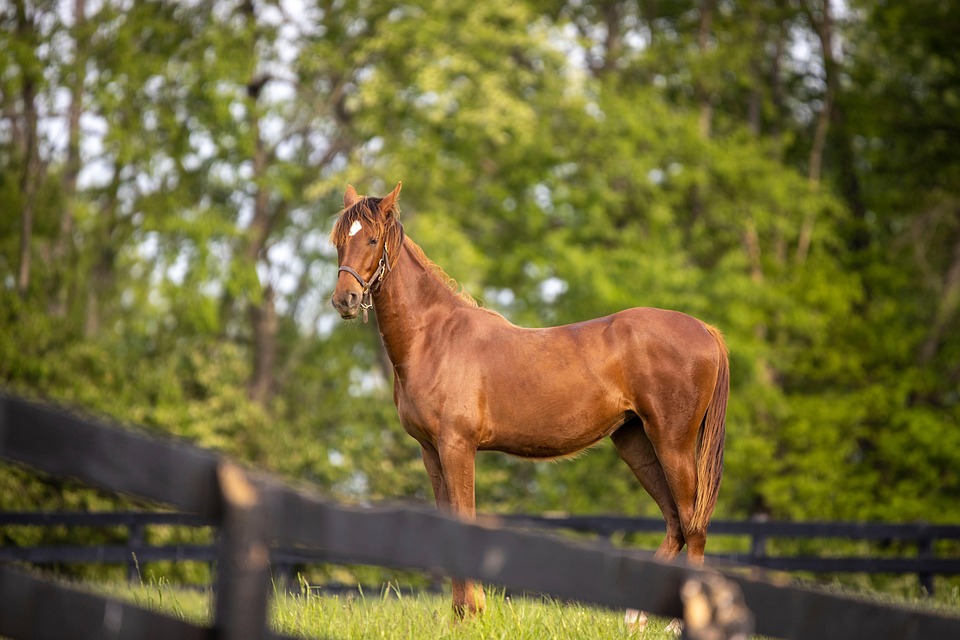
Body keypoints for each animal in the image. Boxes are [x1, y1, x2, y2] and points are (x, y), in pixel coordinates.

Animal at [330, 183, 729, 620]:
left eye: (372, 239)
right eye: (338, 242)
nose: (345, 299)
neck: (434, 337)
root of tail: (704, 330)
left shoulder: (456, 446)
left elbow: (464, 520)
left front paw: (473, 612)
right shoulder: (430, 451)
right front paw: (461, 614)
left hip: (673, 442)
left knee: (693, 524)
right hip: (635, 441)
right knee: (675, 522)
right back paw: (637, 619)